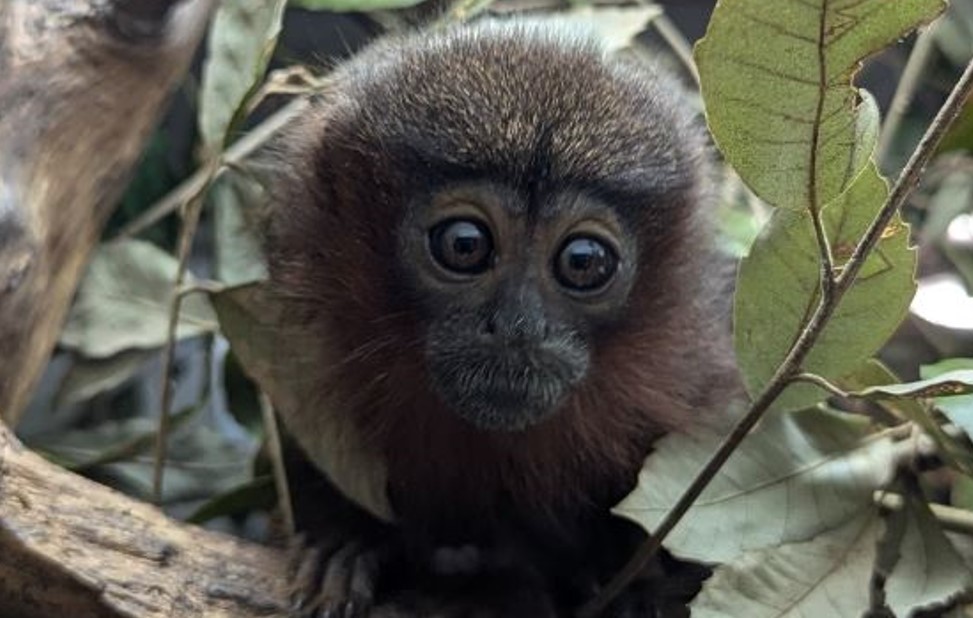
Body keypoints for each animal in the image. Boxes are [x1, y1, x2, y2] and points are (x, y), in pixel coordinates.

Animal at [265, 16, 740, 618]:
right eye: (465, 244)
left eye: (583, 261)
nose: (518, 328)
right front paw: (346, 543)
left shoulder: (702, 386)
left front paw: (640, 591)